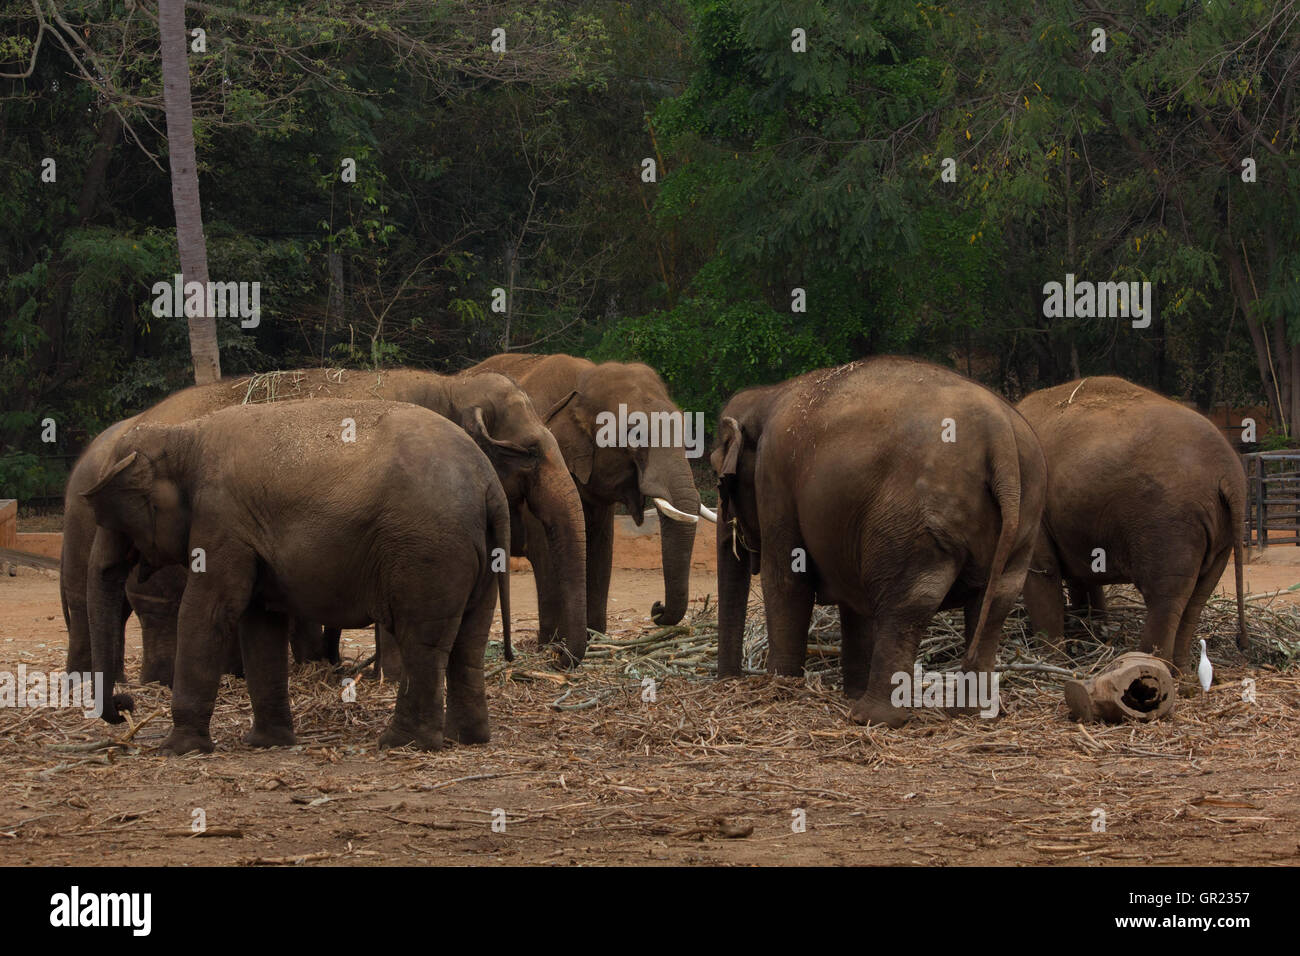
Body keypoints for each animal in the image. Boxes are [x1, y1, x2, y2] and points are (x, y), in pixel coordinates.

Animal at [82, 398, 510, 754]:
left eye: (112, 521)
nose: (124, 704)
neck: (183, 434)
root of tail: (490, 484)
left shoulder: (221, 523)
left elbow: (207, 612)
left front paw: (176, 750)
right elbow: (260, 621)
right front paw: (266, 744)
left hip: (426, 552)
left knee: (421, 639)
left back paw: (402, 744)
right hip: (477, 556)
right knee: (469, 640)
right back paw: (466, 738)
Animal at [469, 353, 716, 636]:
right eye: (635, 434)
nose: (657, 607)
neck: (584, 379)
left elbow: (601, 548)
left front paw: (594, 634)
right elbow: (546, 550)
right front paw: (555, 641)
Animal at [711, 357, 1047, 727]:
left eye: (720, 481)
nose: (728, 682)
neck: (767, 395)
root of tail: (1000, 437)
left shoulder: (774, 477)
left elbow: (786, 579)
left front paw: (781, 687)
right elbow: (853, 598)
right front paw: (847, 690)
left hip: (911, 517)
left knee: (908, 602)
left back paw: (870, 717)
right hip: (1025, 518)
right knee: (996, 600)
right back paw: (969, 712)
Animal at [1015, 376, 1248, 671]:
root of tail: (1229, 473)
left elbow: (1041, 570)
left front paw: (1051, 662)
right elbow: (1082, 579)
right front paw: (1089, 640)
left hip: (1169, 523)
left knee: (1165, 597)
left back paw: (1151, 664)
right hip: (1220, 532)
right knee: (1197, 597)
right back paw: (1182, 673)